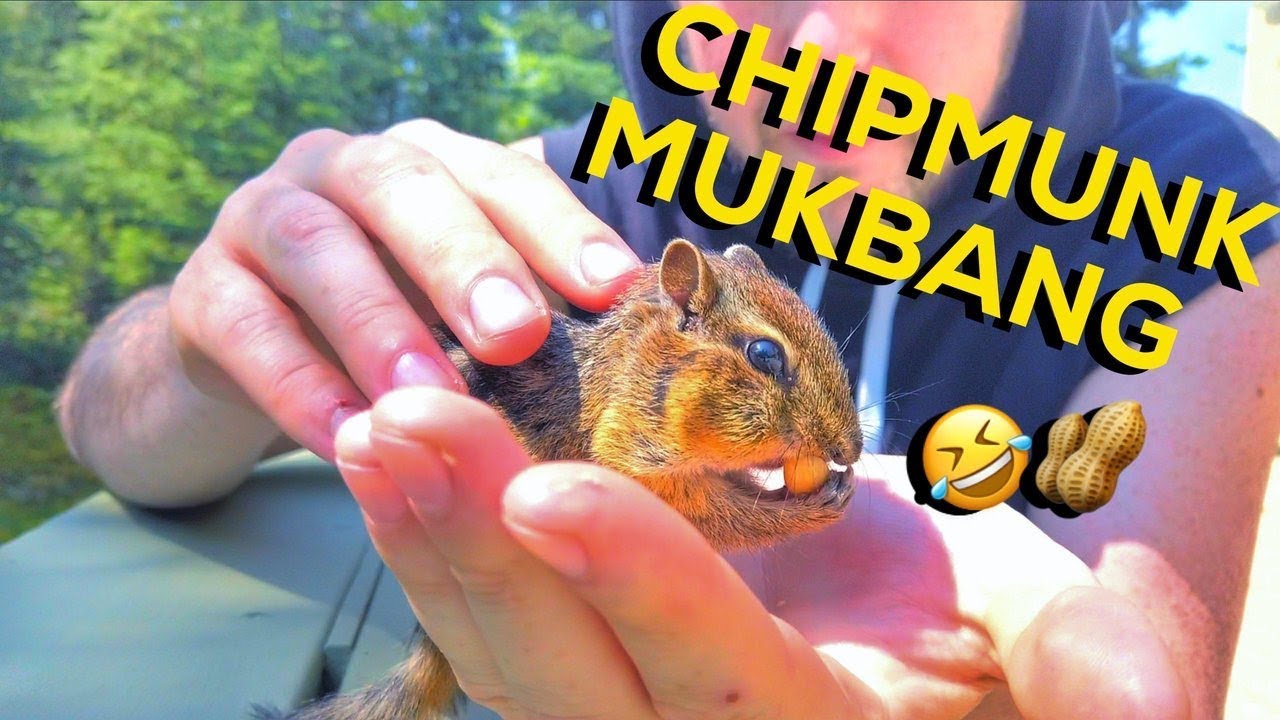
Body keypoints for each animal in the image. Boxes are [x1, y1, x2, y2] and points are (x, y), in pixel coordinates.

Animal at [261, 239, 862, 720]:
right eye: (764, 353)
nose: (851, 449)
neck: (629, 373)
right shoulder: (631, 454)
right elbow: (716, 514)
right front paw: (810, 506)